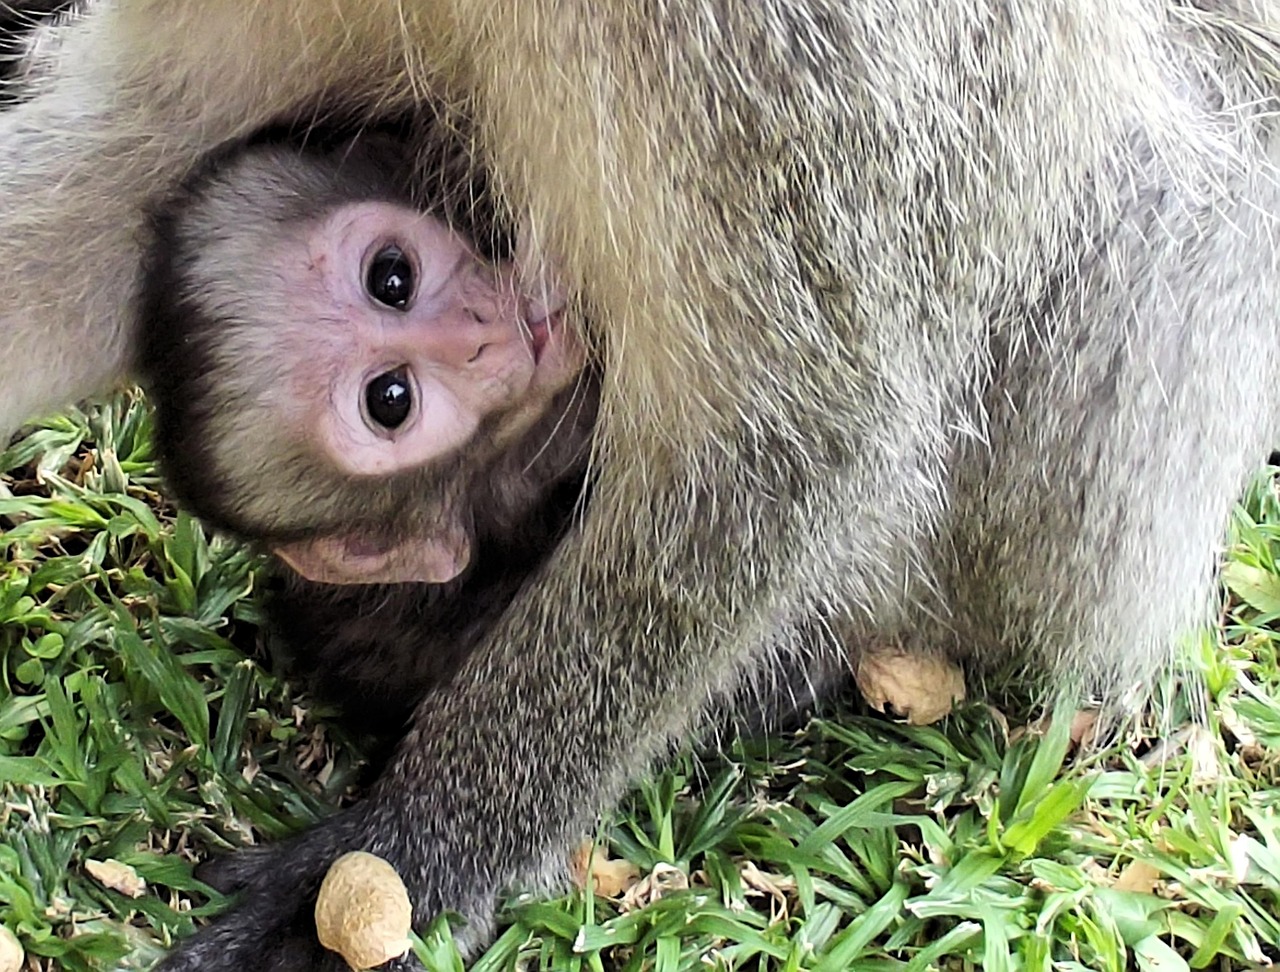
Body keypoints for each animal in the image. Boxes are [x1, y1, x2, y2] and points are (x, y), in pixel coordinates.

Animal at [1, 3, 1279, 970]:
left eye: (394, 274)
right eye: (390, 395)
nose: (487, 331)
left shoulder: (783, 53)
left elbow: (797, 427)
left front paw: (417, 852)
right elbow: (137, 156)